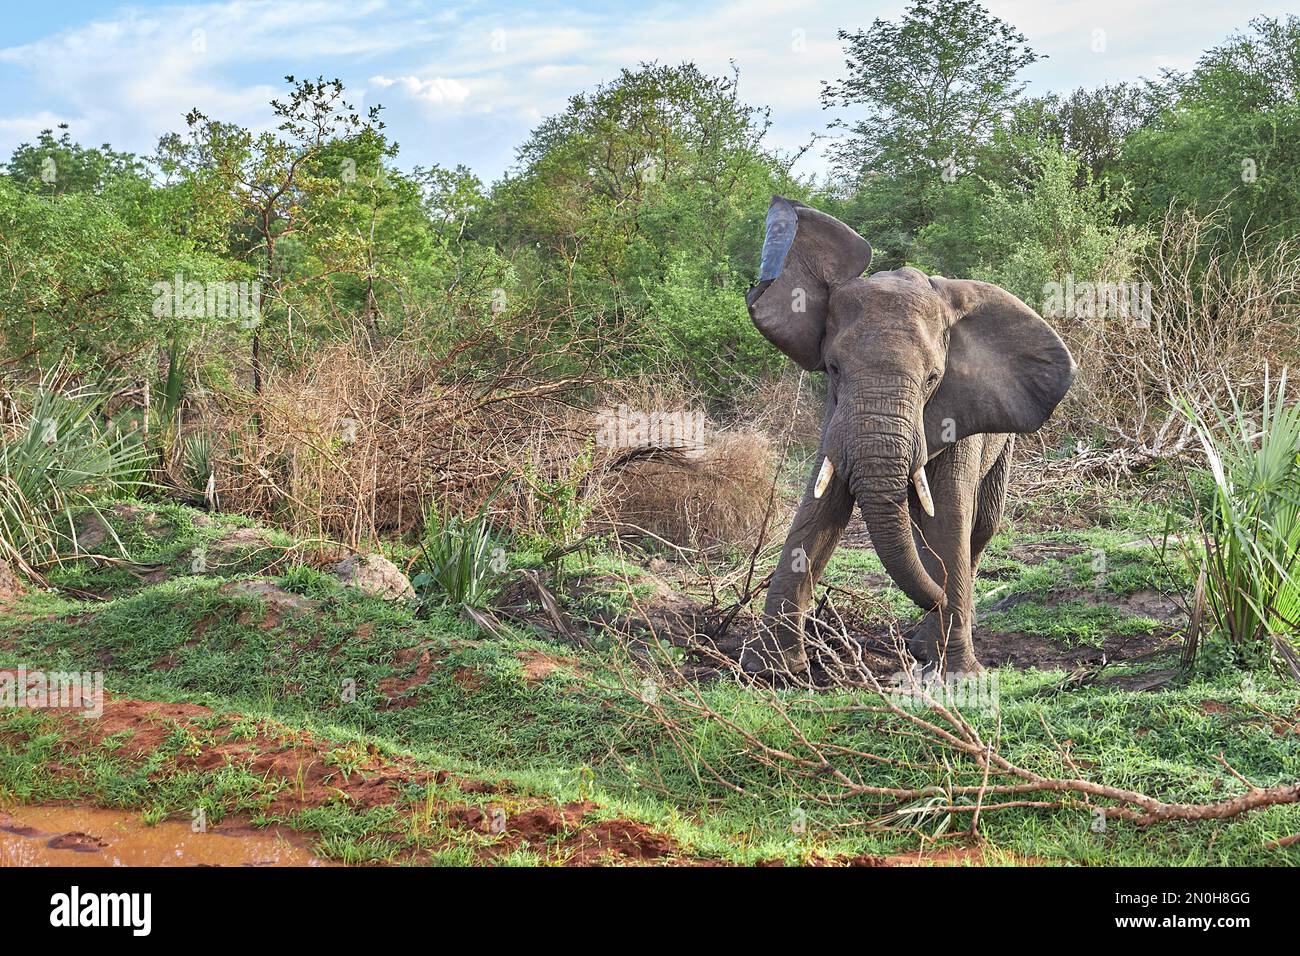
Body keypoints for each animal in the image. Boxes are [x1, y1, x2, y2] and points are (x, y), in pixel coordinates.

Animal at [741, 196, 1076, 678]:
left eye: (934, 377)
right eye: (834, 368)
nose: (941, 602)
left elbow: (950, 514)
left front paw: (959, 673)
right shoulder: (837, 413)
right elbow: (820, 509)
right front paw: (770, 669)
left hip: (1005, 446)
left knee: (979, 528)